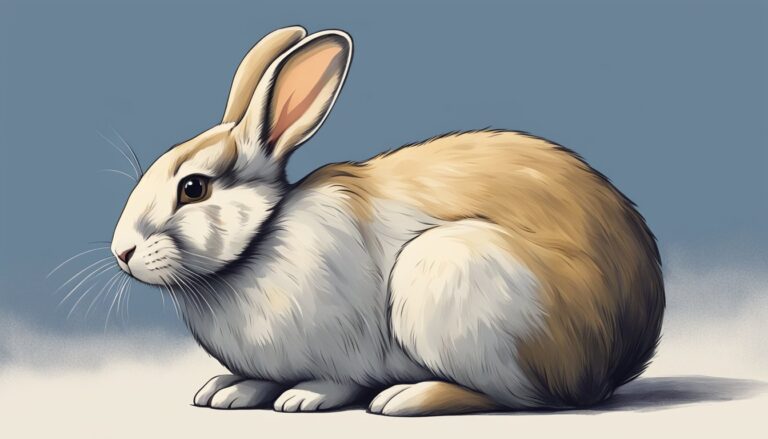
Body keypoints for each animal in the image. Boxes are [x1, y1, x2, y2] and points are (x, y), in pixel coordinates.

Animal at [111, 25, 665, 416]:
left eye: (193, 188)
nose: (122, 253)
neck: (258, 245)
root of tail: (613, 364)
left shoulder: (346, 347)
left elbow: (336, 380)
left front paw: (302, 398)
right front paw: (226, 391)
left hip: (457, 281)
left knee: (520, 397)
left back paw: (406, 398)